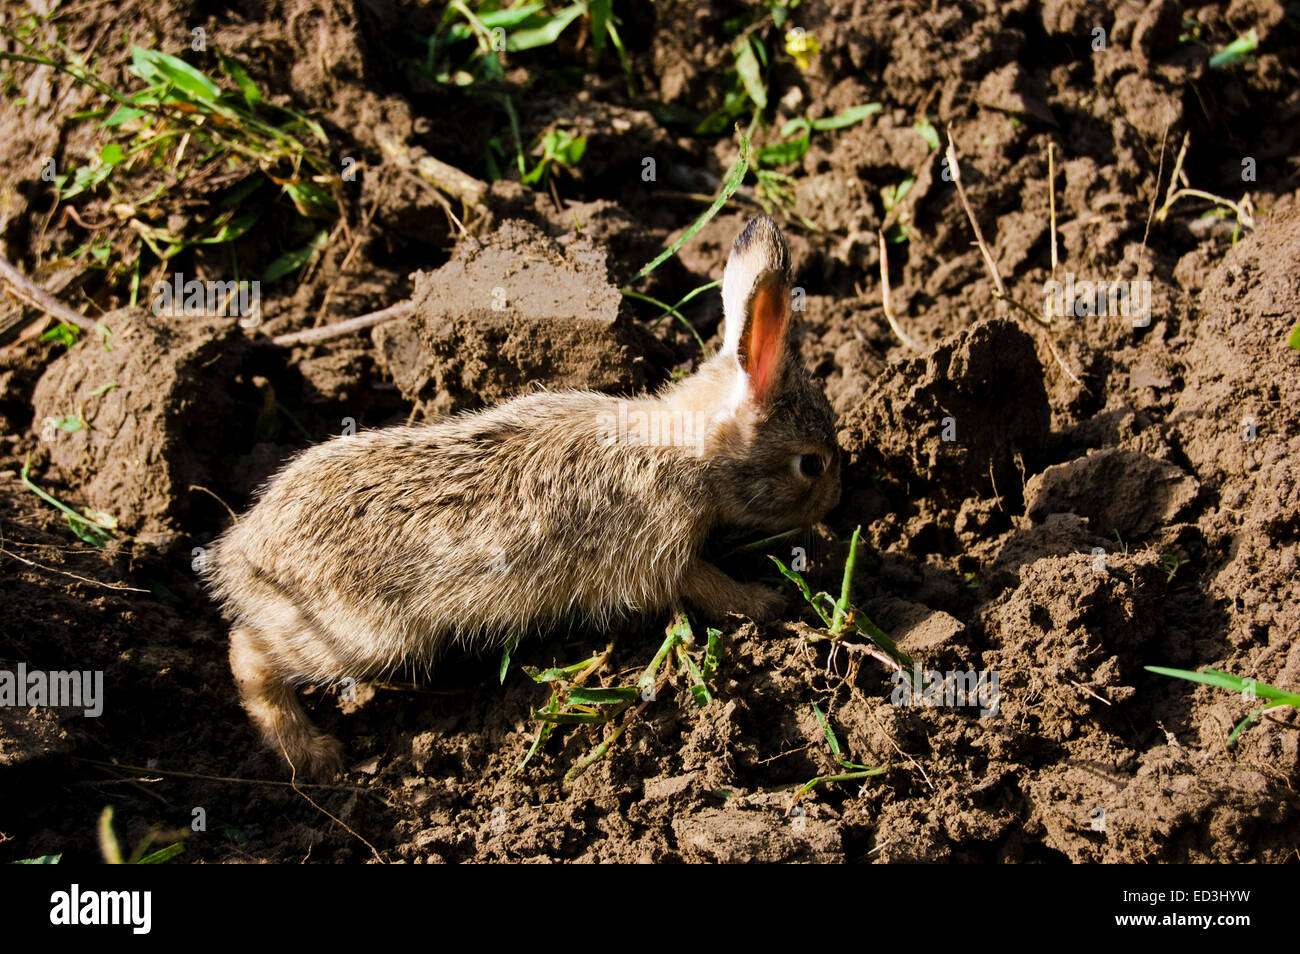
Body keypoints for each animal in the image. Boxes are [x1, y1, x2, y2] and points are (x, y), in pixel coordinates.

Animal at [207, 214, 841, 779]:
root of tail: (237, 557)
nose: (834, 499)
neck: (686, 449)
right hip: (365, 634)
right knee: (248, 653)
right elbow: (705, 586)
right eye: (810, 463)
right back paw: (311, 752)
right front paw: (765, 601)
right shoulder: (661, 551)